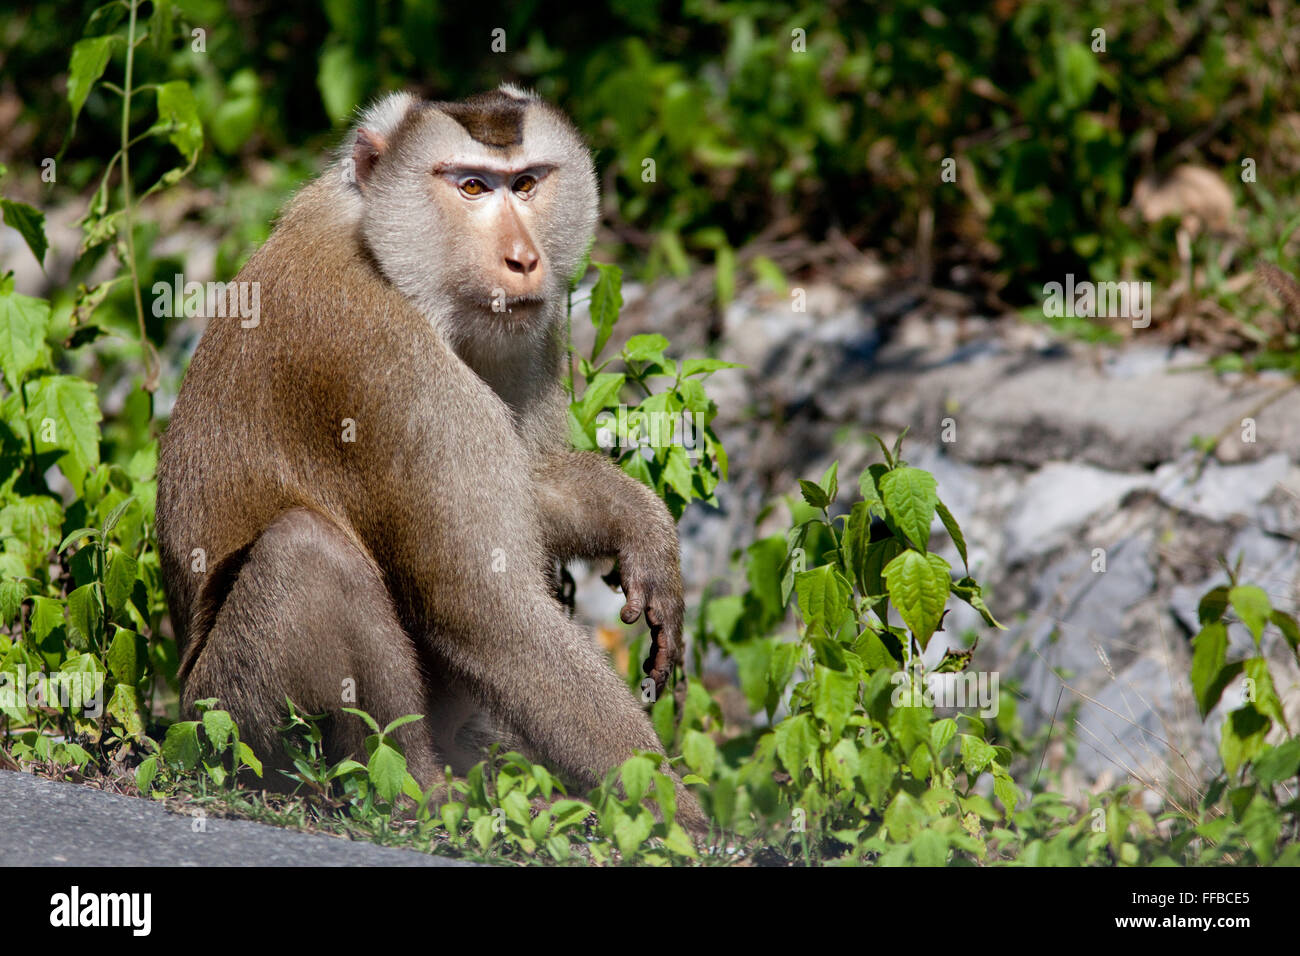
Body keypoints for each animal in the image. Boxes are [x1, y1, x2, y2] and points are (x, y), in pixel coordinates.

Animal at [155, 85, 707, 832]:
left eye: (525, 183)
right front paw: (671, 807)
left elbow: (524, 489)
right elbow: (483, 607)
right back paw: (417, 790)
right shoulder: (384, 360)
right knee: (307, 553)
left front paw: (632, 519)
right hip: (227, 720)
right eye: (471, 186)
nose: (522, 260)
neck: (385, 256)